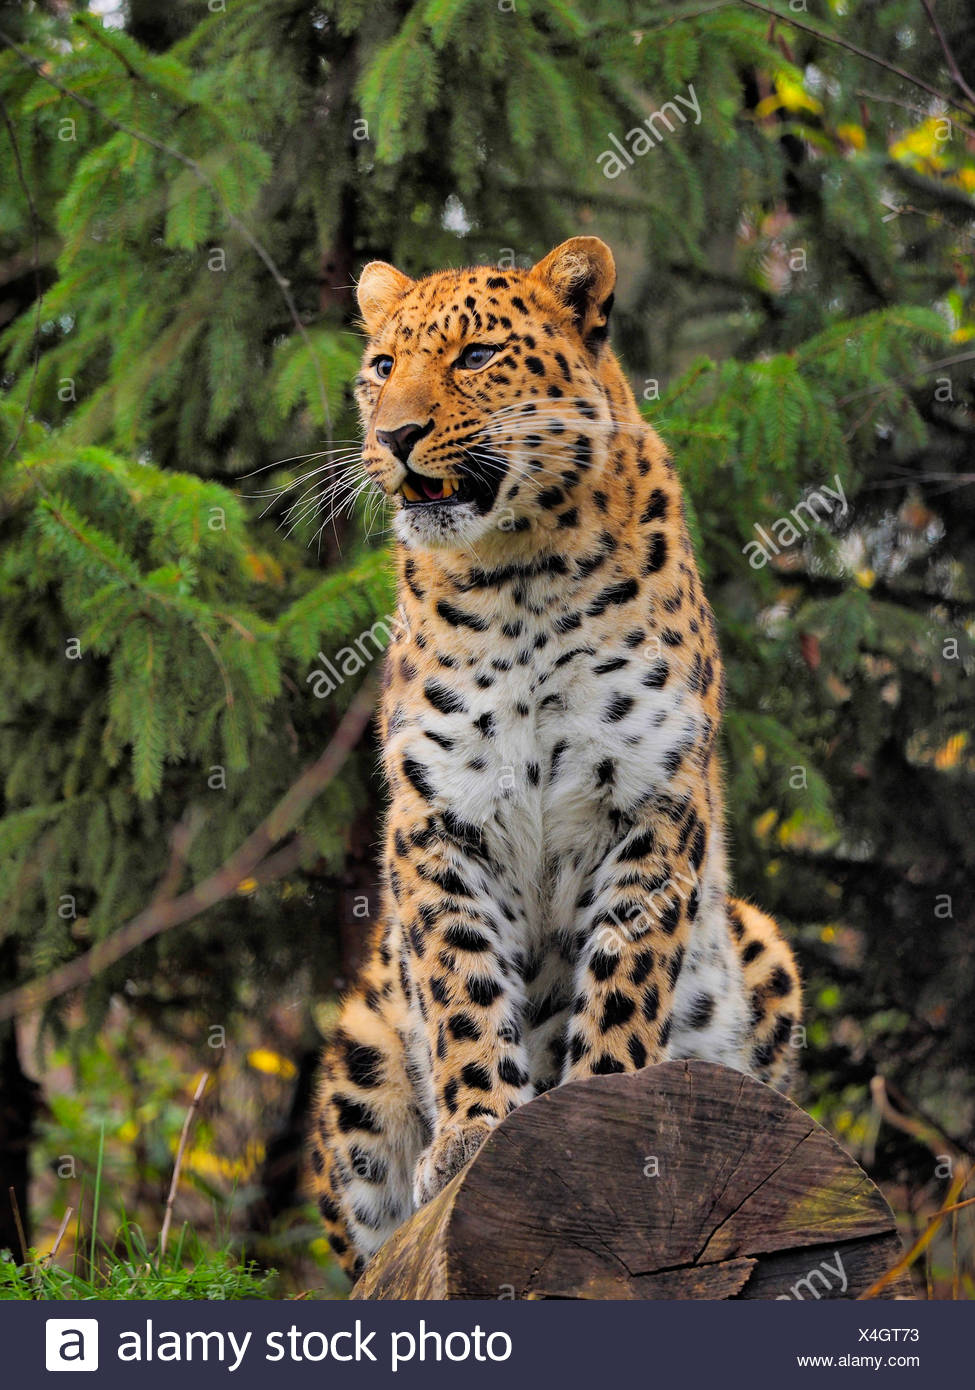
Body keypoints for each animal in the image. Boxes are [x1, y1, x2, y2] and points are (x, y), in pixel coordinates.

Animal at [308, 237, 802, 1282]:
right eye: (382, 366)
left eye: (476, 357)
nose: (396, 435)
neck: (518, 579)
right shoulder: (438, 818)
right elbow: (462, 986)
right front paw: (474, 1128)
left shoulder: (653, 801)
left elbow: (625, 971)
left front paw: (602, 1098)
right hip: (360, 1046)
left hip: (760, 945)